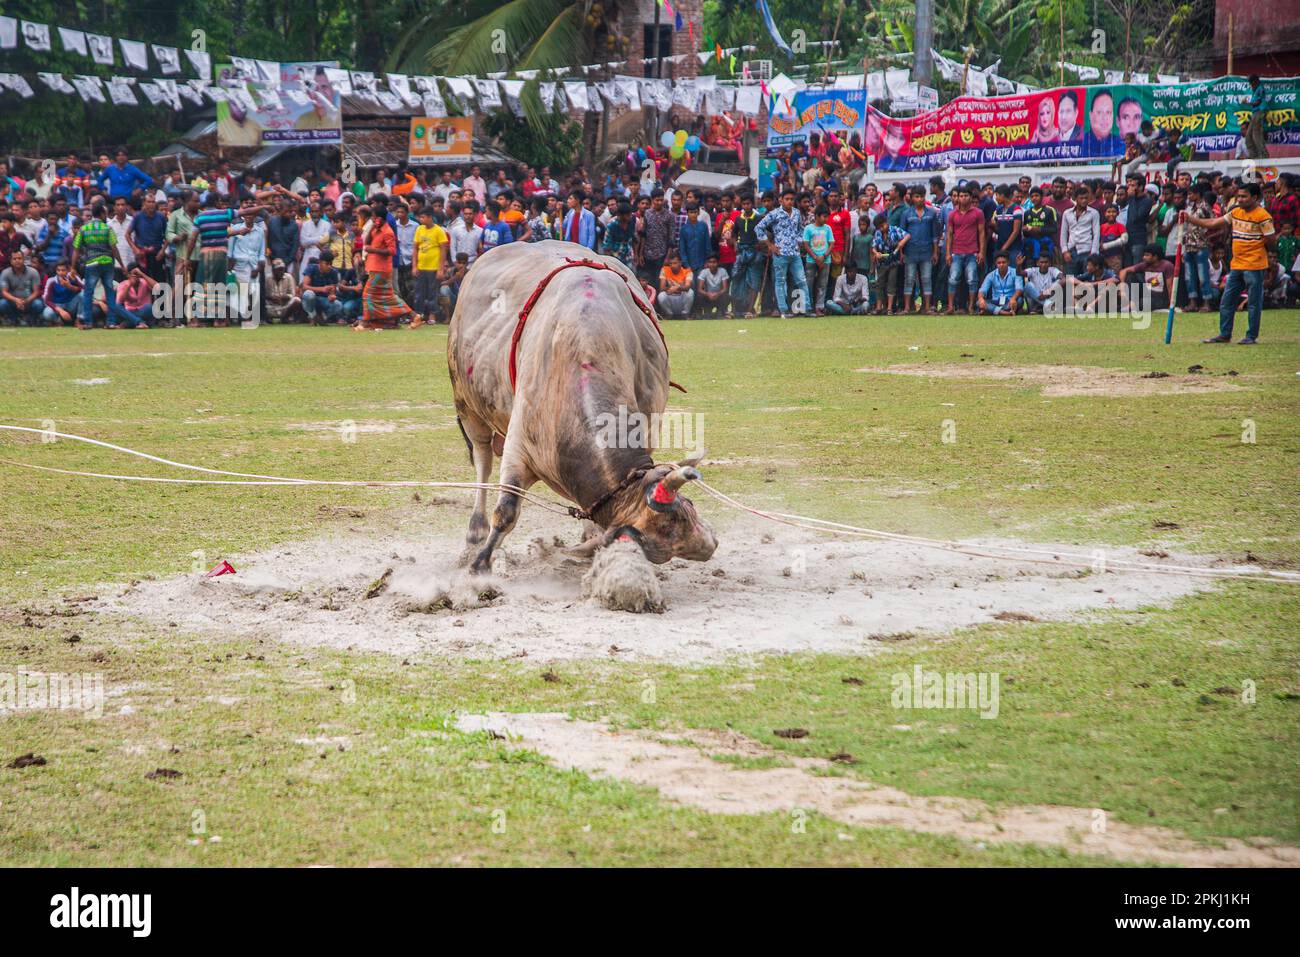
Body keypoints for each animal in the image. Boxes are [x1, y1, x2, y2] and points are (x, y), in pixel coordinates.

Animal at [447, 240, 717, 574]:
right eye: (681, 513)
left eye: (688, 507)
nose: (709, 545)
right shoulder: (519, 444)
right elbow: (507, 510)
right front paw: (481, 561)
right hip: (468, 407)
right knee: (483, 461)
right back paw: (475, 533)